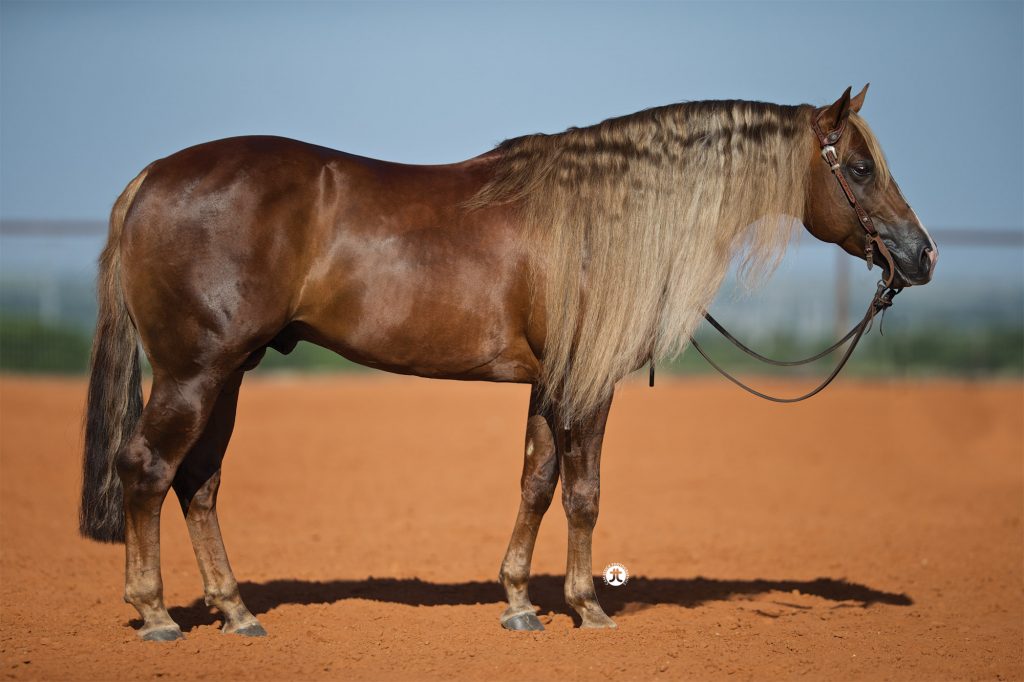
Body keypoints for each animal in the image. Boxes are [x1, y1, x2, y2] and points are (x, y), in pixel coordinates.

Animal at [79, 85, 937, 640]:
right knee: (148, 468)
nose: (921, 255)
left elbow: (535, 482)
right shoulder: (588, 386)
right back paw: (156, 614)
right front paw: (589, 607)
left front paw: (521, 603)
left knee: (198, 483)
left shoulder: (551, 382)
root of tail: (153, 178)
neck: (608, 219)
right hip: (194, 372)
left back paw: (235, 612)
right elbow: (585, 493)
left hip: (228, 372)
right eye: (860, 168)